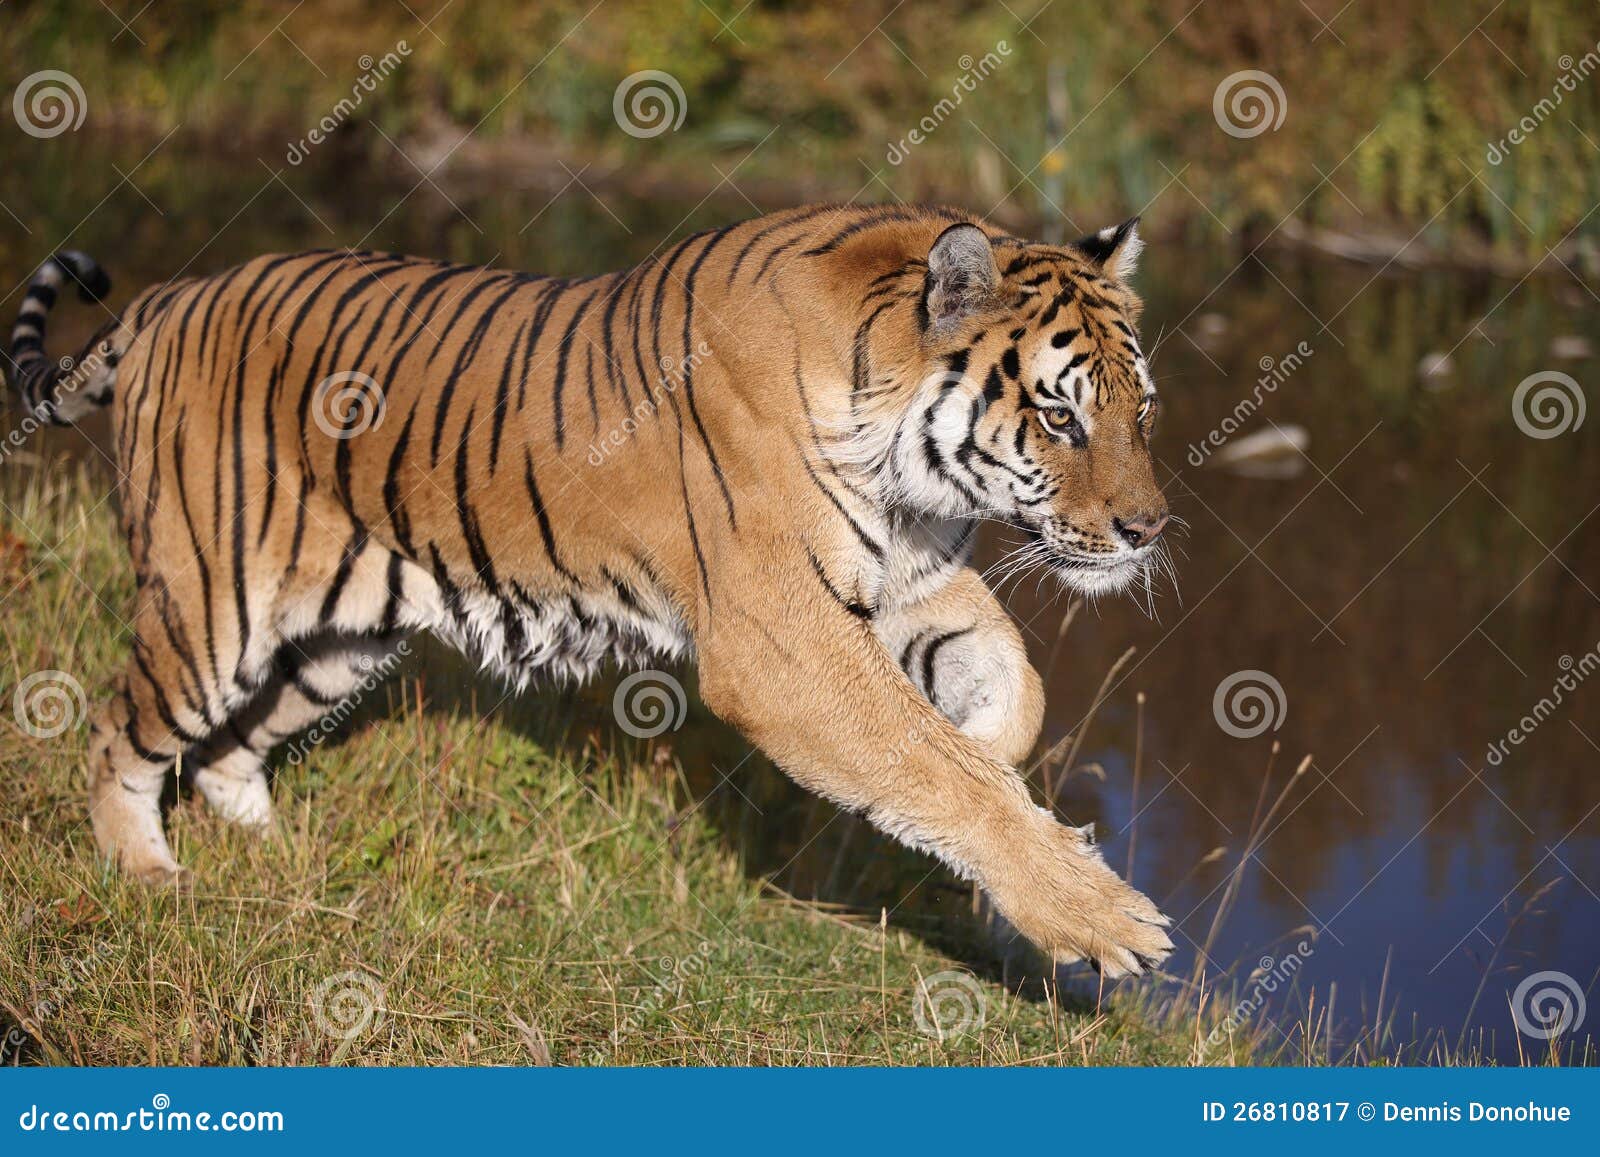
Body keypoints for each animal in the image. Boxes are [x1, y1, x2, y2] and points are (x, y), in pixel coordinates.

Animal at [6, 204, 1175, 976]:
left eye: (1142, 410)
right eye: (1061, 416)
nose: (1147, 529)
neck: (903, 465)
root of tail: (172, 294)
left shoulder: (900, 577)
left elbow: (1003, 685)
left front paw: (994, 746)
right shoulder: (778, 637)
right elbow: (929, 765)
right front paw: (1103, 917)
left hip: (340, 639)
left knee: (227, 752)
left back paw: (274, 849)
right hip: (212, 609)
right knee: (118, 737)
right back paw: (147, 875)